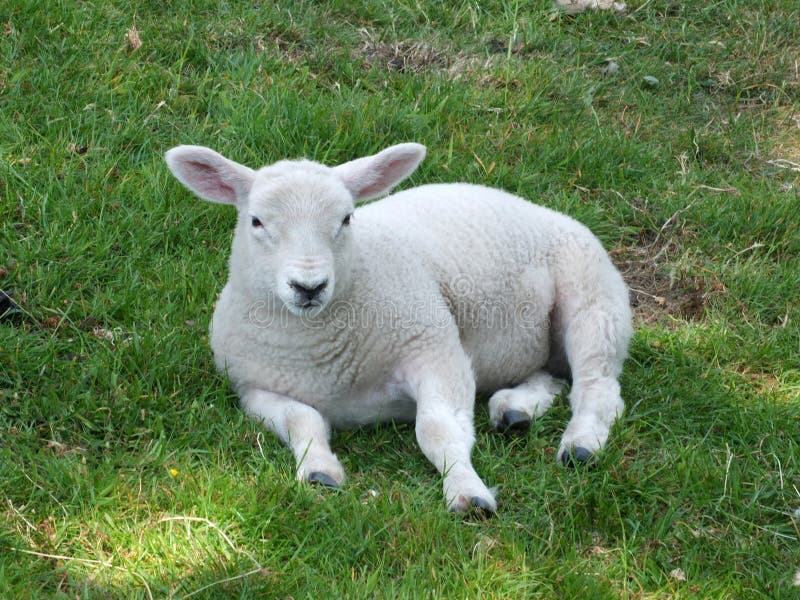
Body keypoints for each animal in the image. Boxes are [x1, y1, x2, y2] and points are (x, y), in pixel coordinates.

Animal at [164, 143, 633, 514]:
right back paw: (515, 409)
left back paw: (581, 445)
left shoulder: (435, 350)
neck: (320, 354)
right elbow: (304, 421)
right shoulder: (253, 390)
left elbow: (438, 430)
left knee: (597, 387)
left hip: (594, 302)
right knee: (552, 374)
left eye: (346, 219)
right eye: (257, 222)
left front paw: (467, 492)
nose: (309, 287)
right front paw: (319, 471)